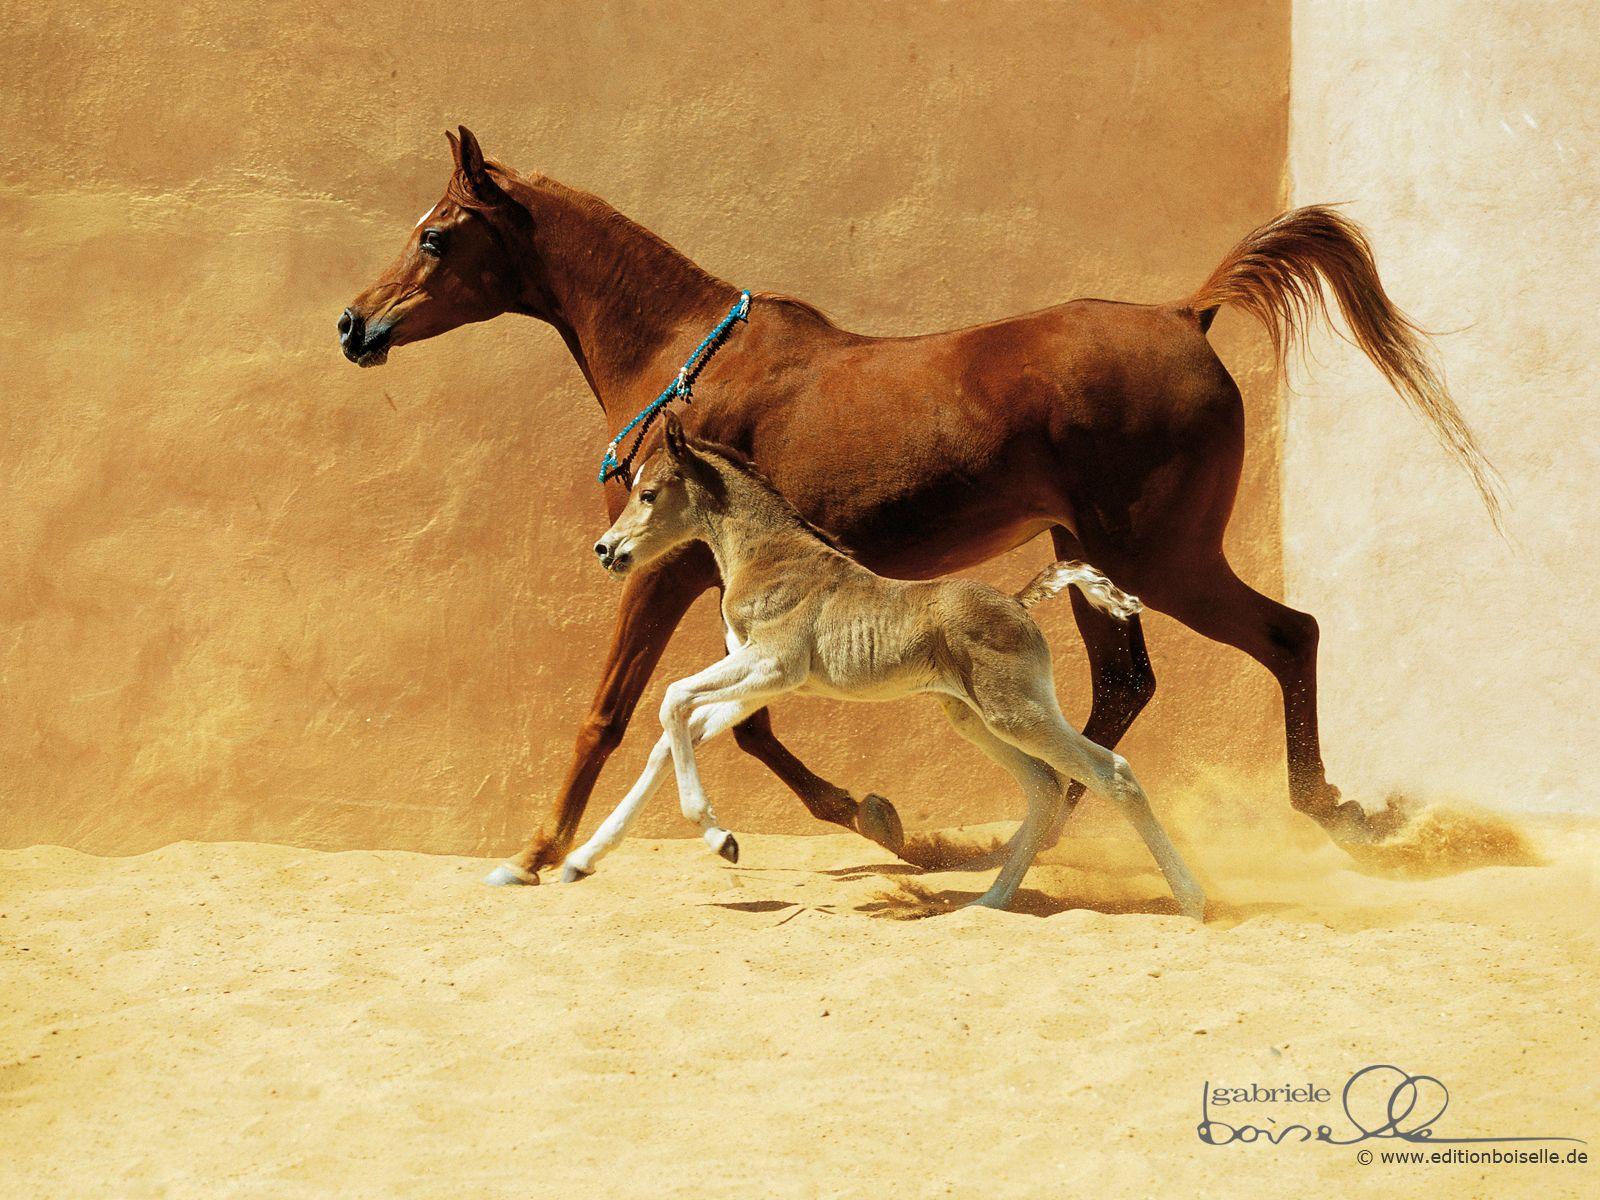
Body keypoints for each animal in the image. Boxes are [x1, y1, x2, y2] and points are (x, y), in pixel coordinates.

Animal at [540, 412, 1204, 917]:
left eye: (649, 494)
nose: (606, 550)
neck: (768, 554)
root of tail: (1019, 602)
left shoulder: (774, 665)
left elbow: (672, 698)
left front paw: (720, 838)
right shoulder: (757, 683)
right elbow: (670, 731)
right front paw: (580, 860)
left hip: (1016, 712)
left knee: (1110, 773)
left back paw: (1192, 900)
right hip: (974, 718)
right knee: (1045, 785)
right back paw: (989, 901)